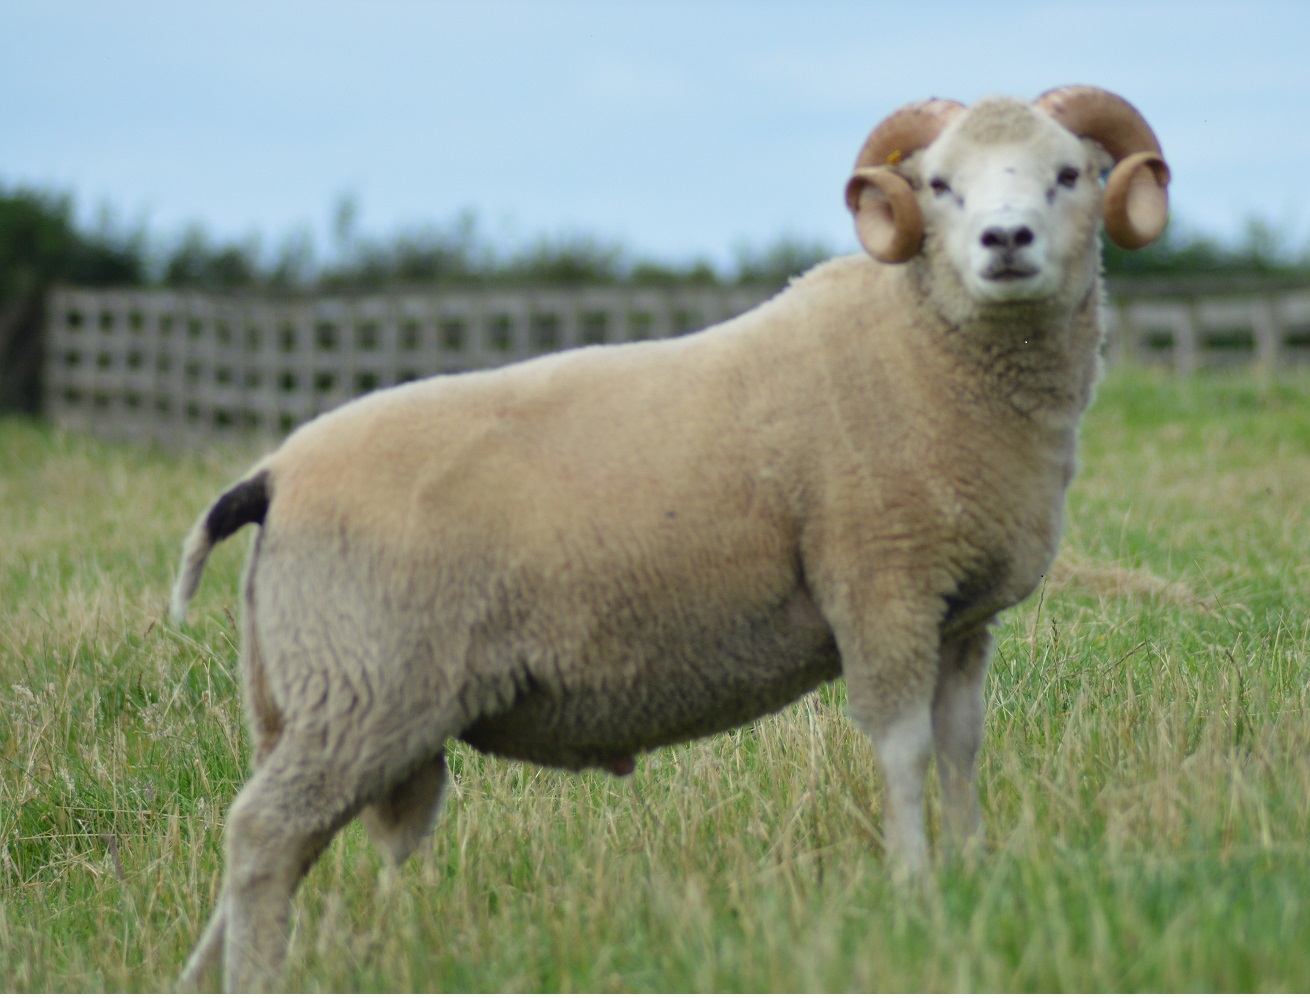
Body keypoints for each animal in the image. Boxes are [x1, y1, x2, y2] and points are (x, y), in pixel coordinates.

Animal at [171, 84, 1169, 991]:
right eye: (939, 185)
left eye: (1070, 174)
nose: (1006, 242)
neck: (925, 346)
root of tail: (274, 474)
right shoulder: (880, 583)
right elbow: (904, 748)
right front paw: (914, 892)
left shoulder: (958, 613)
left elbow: (960, 746)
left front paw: (972, 872)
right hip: (365, 684)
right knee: (262, 837)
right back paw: (253, 982)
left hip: (303, 693)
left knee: (264, 845)